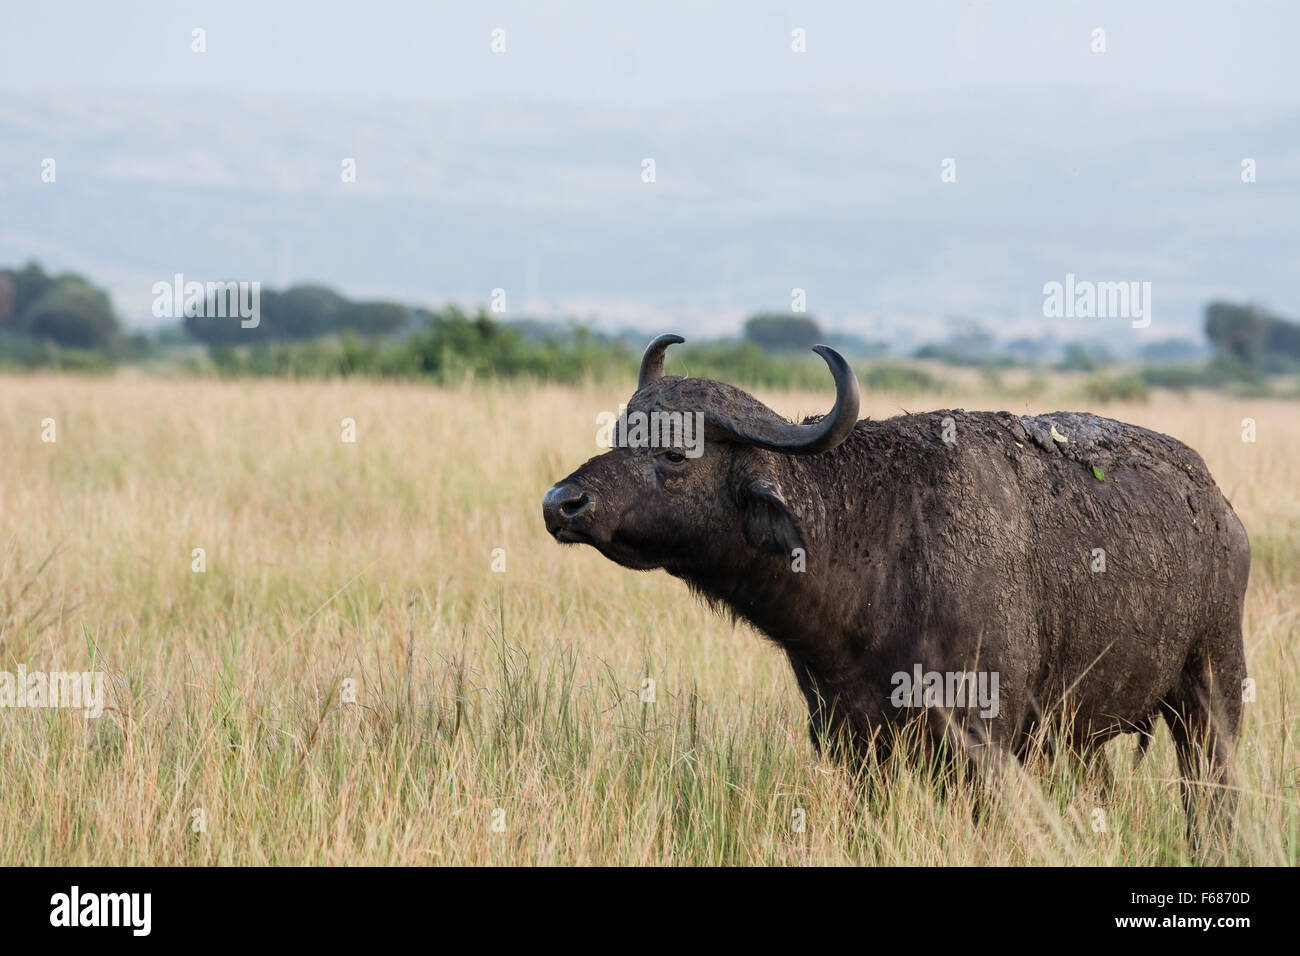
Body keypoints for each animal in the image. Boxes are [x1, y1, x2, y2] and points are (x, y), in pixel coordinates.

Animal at [543, 334, 1249, 833]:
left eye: (675, 452)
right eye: (621, 434)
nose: (562, 503)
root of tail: (1220, 509)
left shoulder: (982, 743)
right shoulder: (848, 740)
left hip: (1212, 699)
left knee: (1210, 802)